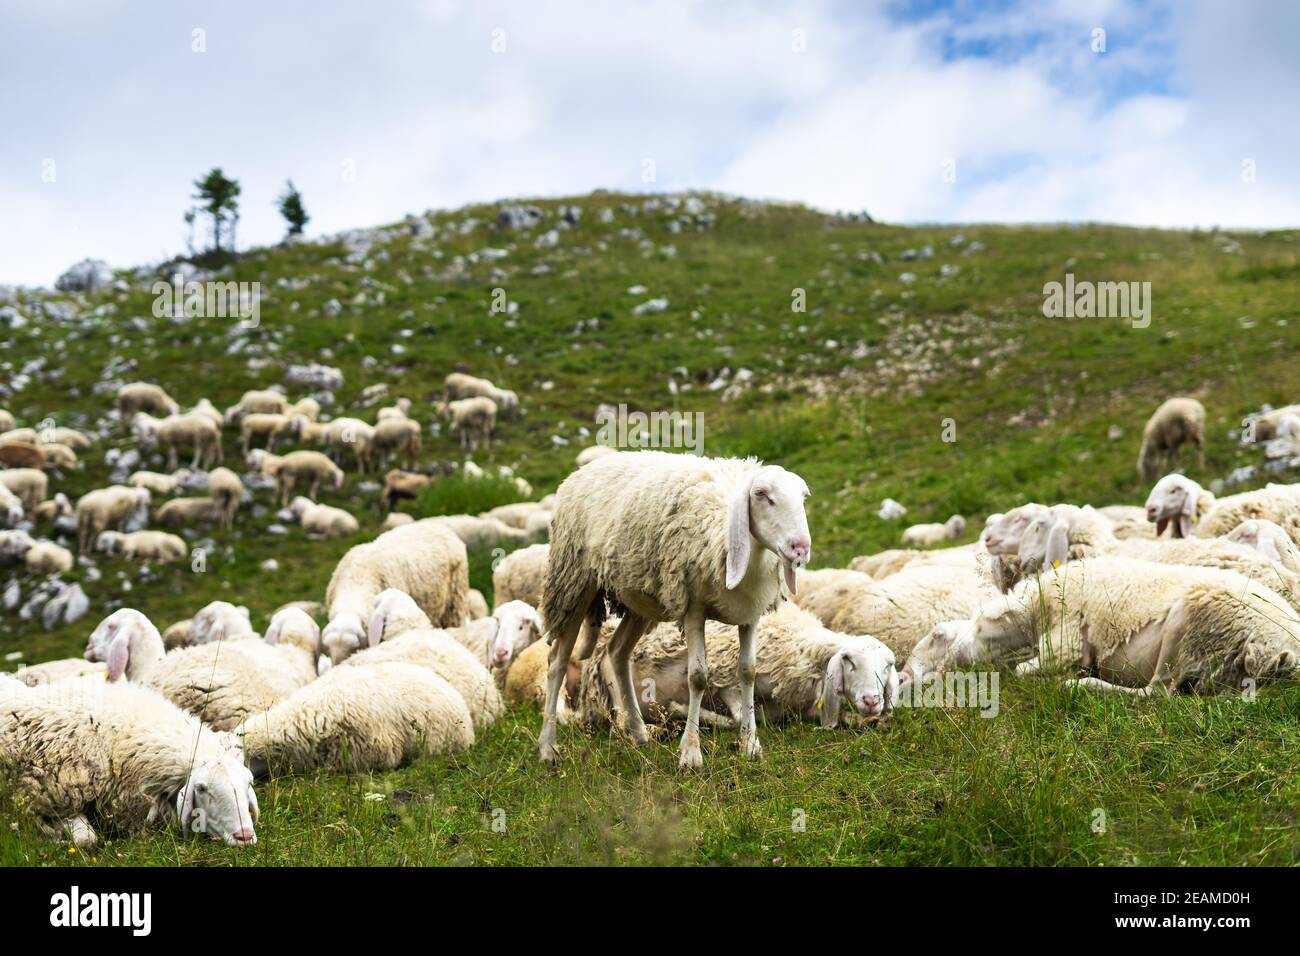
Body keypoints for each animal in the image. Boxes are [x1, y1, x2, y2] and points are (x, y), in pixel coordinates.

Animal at [0, 679, 257, 848]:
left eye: (248, 783)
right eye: (202, 789)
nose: (244, 836)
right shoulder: (51, 798)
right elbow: (86, 839)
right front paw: (52, 834)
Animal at [538, 450, 811, 770]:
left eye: (803, 497)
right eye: (761, 495)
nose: (801, 548)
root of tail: (588, 467)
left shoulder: (750, 615)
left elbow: (749, 672)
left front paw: (751, 745)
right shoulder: (693, 608)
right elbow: (698, 677)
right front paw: (690, 753)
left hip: (639, 598)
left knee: (617, 651)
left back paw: (639, 732)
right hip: (574, 580)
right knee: (557, 661)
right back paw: (547, 747)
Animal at [579, 602, 898, 731]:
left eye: (888, 666)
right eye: (849, 661)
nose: (872, 700)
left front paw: (866, 721)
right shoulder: (726, 678)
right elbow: (738, 718)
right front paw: (683, 711)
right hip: (617, 689)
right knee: (622, 725)